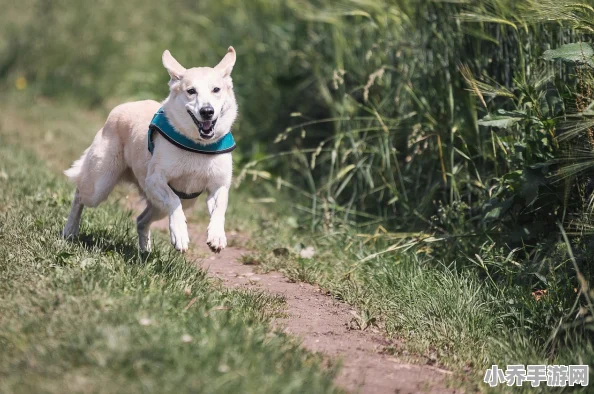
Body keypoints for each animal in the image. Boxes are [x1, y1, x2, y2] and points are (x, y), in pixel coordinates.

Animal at [60, 47, 236, 254]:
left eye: (216, 89)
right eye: (191, 91)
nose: (207, 111)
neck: (198, 146)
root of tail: (121, 107)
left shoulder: (219, 185)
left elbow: (220, 208)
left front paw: (217, 236)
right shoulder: (155, 180)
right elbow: (173, 200)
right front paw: (180, 234)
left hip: (166, 204)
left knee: (141, 220)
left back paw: (145, 251)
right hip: (99, 185)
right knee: (79, 195)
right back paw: (70, 230)